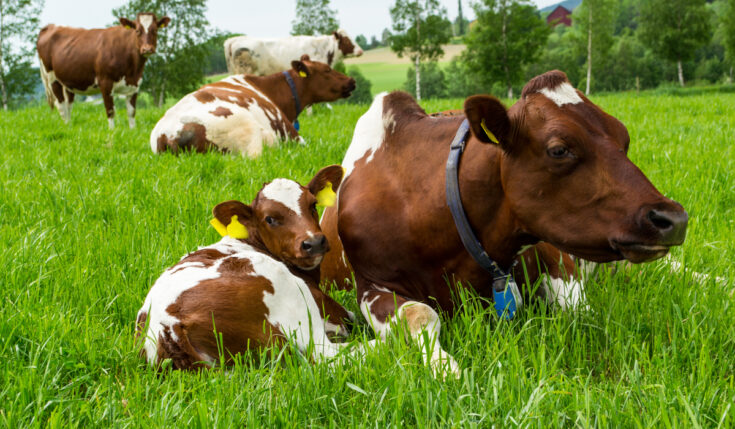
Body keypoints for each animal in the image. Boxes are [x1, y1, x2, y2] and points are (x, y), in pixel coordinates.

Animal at [37, 13, 170, 129]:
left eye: (155, 30)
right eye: (137, 31)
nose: (147, 49)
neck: (132, 69)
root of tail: (50, 26)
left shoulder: (135, 85)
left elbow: (132, 111)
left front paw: (132, 130)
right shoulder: (105, 82)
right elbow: (110, 110)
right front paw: (112, 131)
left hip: (67, 80)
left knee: (68, 105)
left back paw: (70, 126)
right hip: (52, 78)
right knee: (61, 105)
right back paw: (66, 127)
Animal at [319, 71, 688, 377]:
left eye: (624, 138)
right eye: (559, 149)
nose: (673, 217)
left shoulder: (556, 258)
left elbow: (581, 310)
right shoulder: (372, 285)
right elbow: (420, 315)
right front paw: (445, 368)